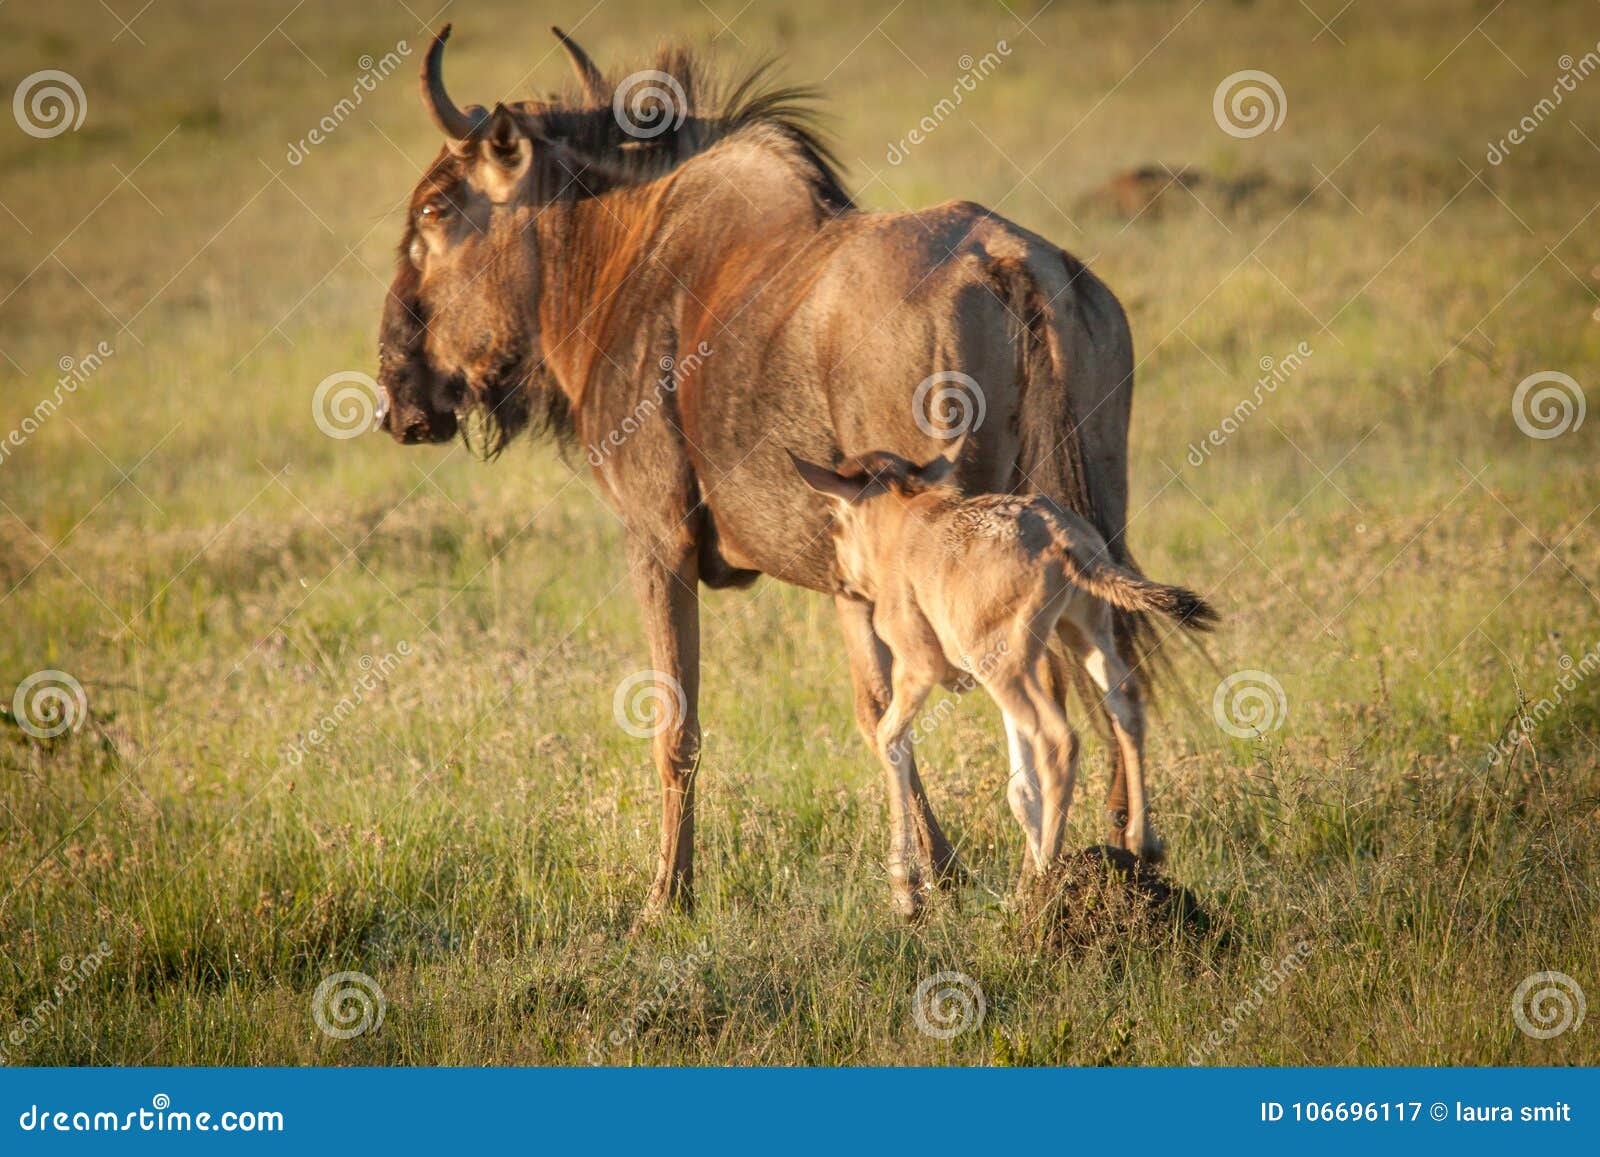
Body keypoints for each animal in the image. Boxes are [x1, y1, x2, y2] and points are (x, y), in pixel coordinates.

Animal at [790, 444, 1217, 918]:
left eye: (836, 519)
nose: (843, 580)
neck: (907, 522)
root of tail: (1060, 536)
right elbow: (1021, 789)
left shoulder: (916, 667)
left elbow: (890, 739)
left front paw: (905, 891)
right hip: (1079, 634)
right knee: (1125, 700)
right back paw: (1142, 845)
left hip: (1006, 666)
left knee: (1059, 739)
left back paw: (1048, 876)